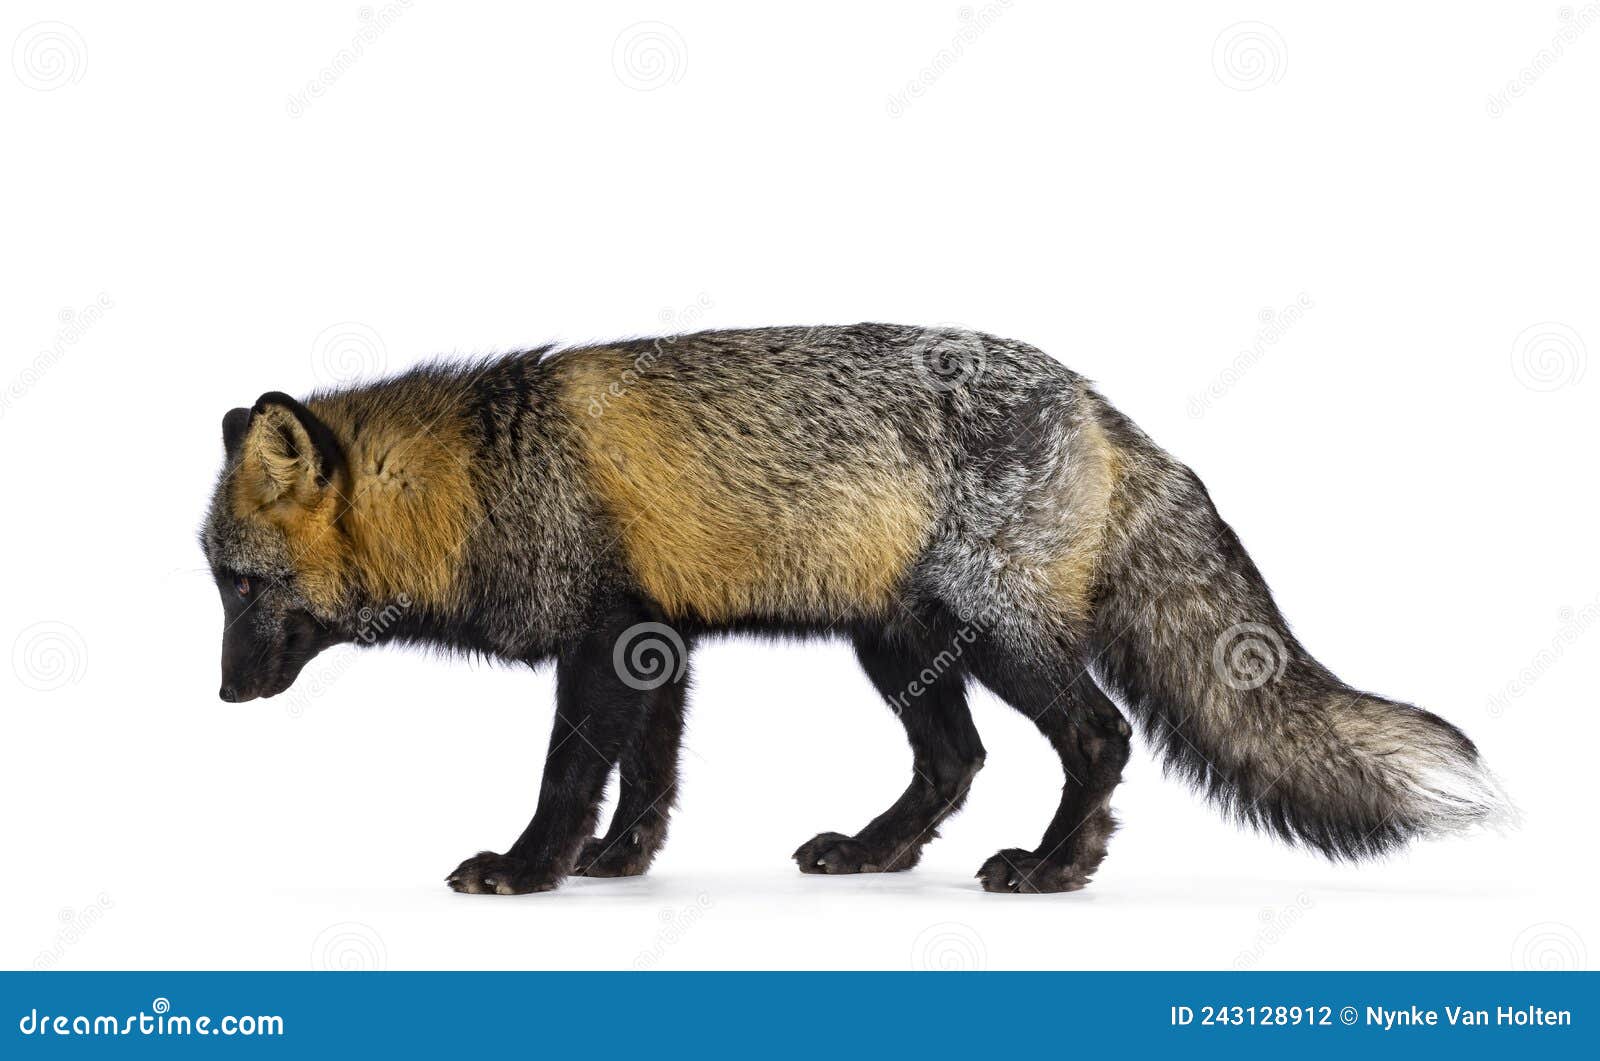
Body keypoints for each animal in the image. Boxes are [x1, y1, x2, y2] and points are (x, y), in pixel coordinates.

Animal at [200, 323, 1507, 894]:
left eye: (244, 583)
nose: (223, 691)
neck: (485, 474)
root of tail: (1095, 398)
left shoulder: (604, 637)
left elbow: (570, 774)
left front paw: (531, 869)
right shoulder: (657, 638)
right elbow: (650, 777)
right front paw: (620, 863)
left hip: (1000, 634)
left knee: (1098, 737)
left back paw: (1054, 866)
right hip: (898, 640)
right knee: (955, 759)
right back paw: (878, 851)